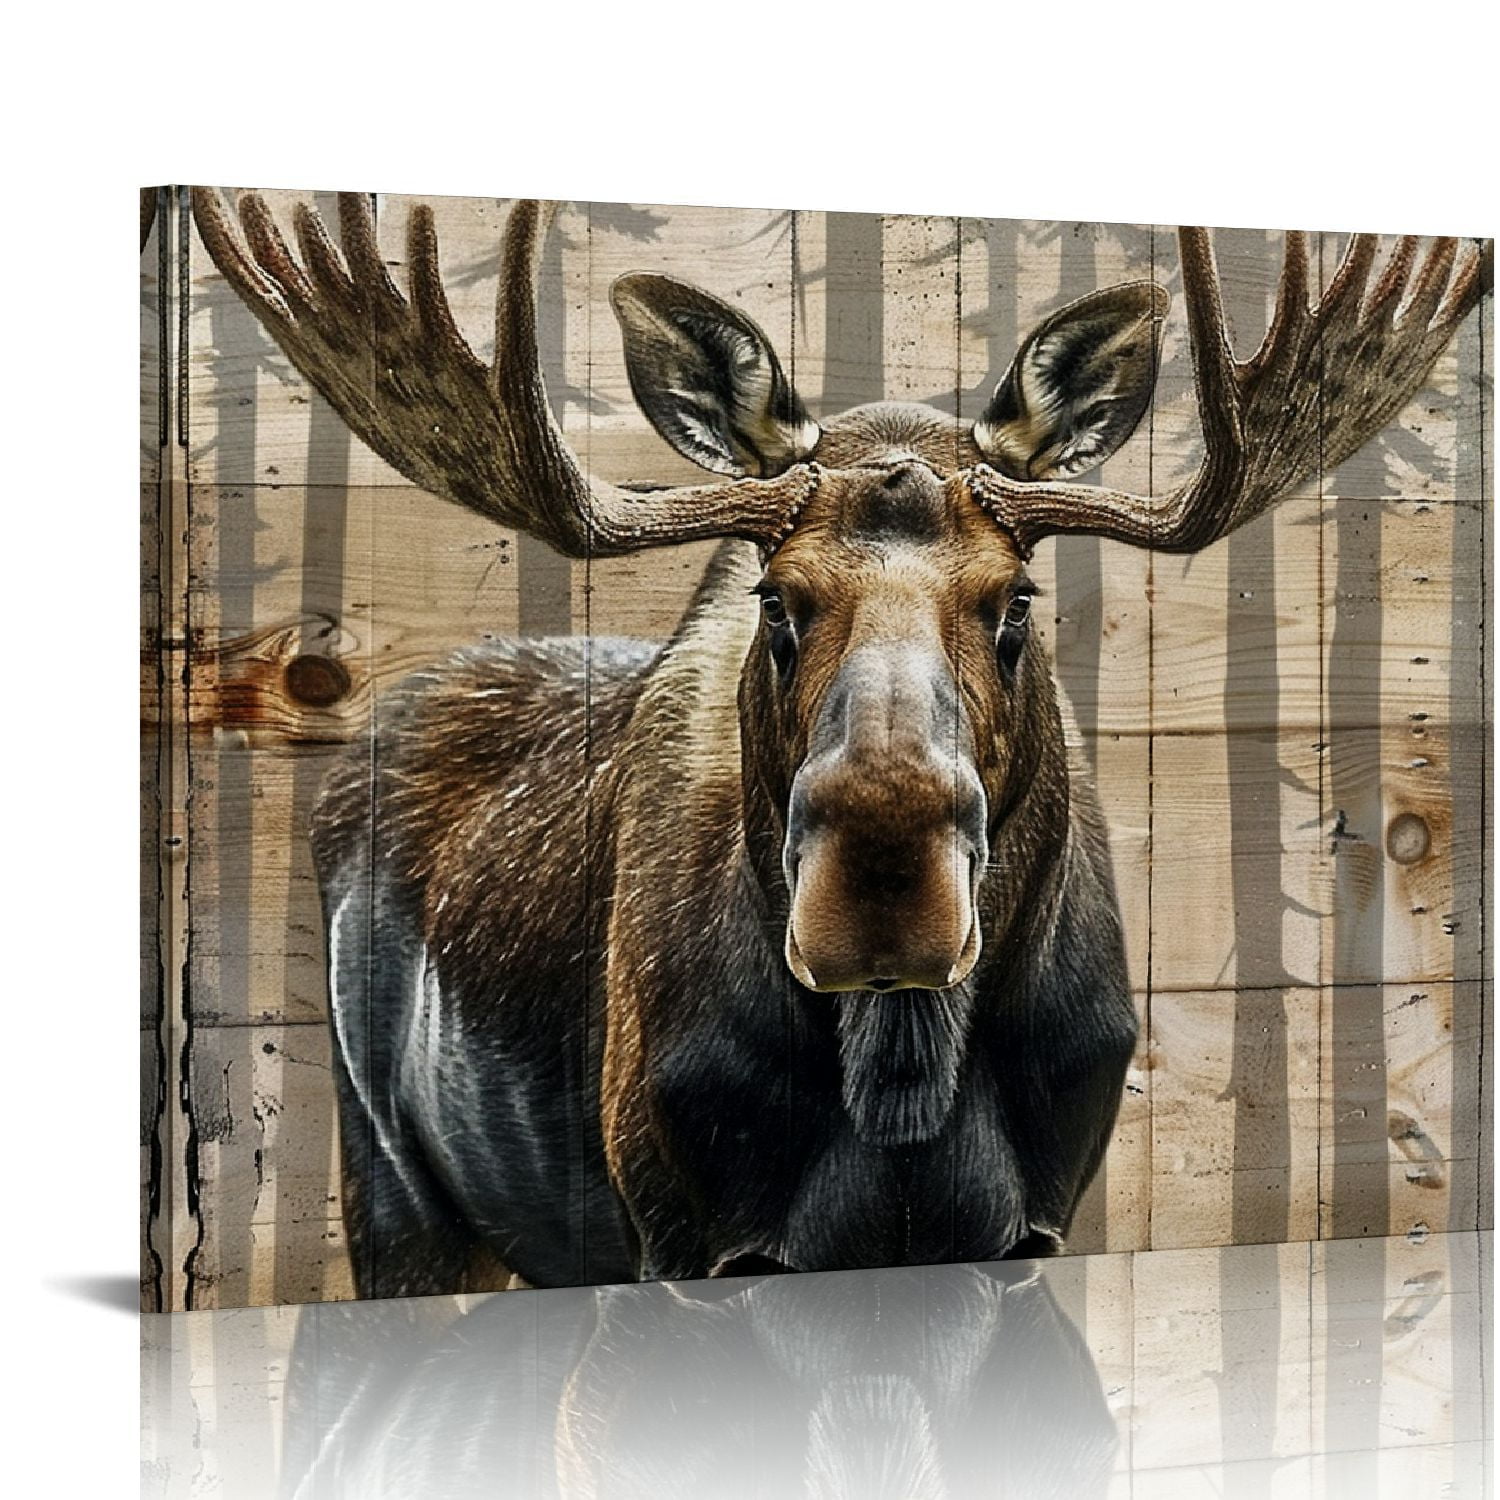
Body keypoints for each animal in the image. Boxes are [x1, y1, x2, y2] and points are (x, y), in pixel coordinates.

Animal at [193, 189, 1490, 1298]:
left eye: (1016, 602)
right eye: (778, 599)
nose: (883, 887)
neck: (903, 1085)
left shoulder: (1039, 1221)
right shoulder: (681, 1235)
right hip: (394, 1192)